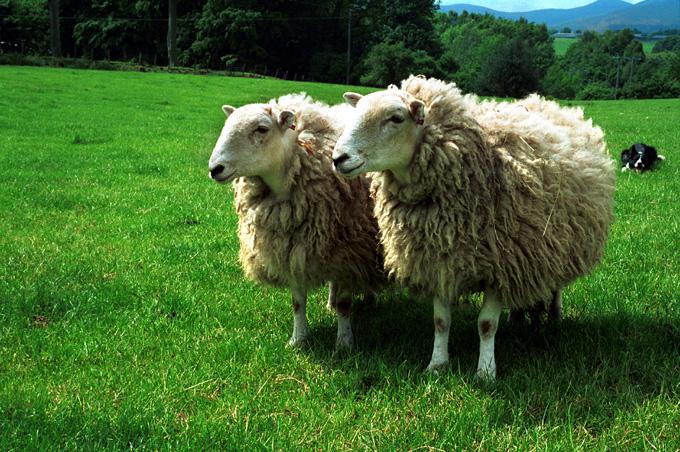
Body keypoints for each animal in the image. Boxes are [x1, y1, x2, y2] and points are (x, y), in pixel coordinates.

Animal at [208, 93, 383, 350]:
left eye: (262, 128)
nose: (215, 168)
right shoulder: (291, 248)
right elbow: (297, 302)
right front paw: (298, 339)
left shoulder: (348, 252)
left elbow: (345, 304)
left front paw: (344, 343)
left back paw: (368, 298)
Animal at [332, 76, 615, 380]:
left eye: (396, 118)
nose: (338, 158)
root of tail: (546, 102)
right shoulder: (439, 261)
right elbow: (441, 321)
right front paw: (437, 364)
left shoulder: (501, 265)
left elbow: (486, 325)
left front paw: (486, 372)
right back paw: (518, 318)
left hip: (554, 244)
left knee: (555, 286)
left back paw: (553, 316)